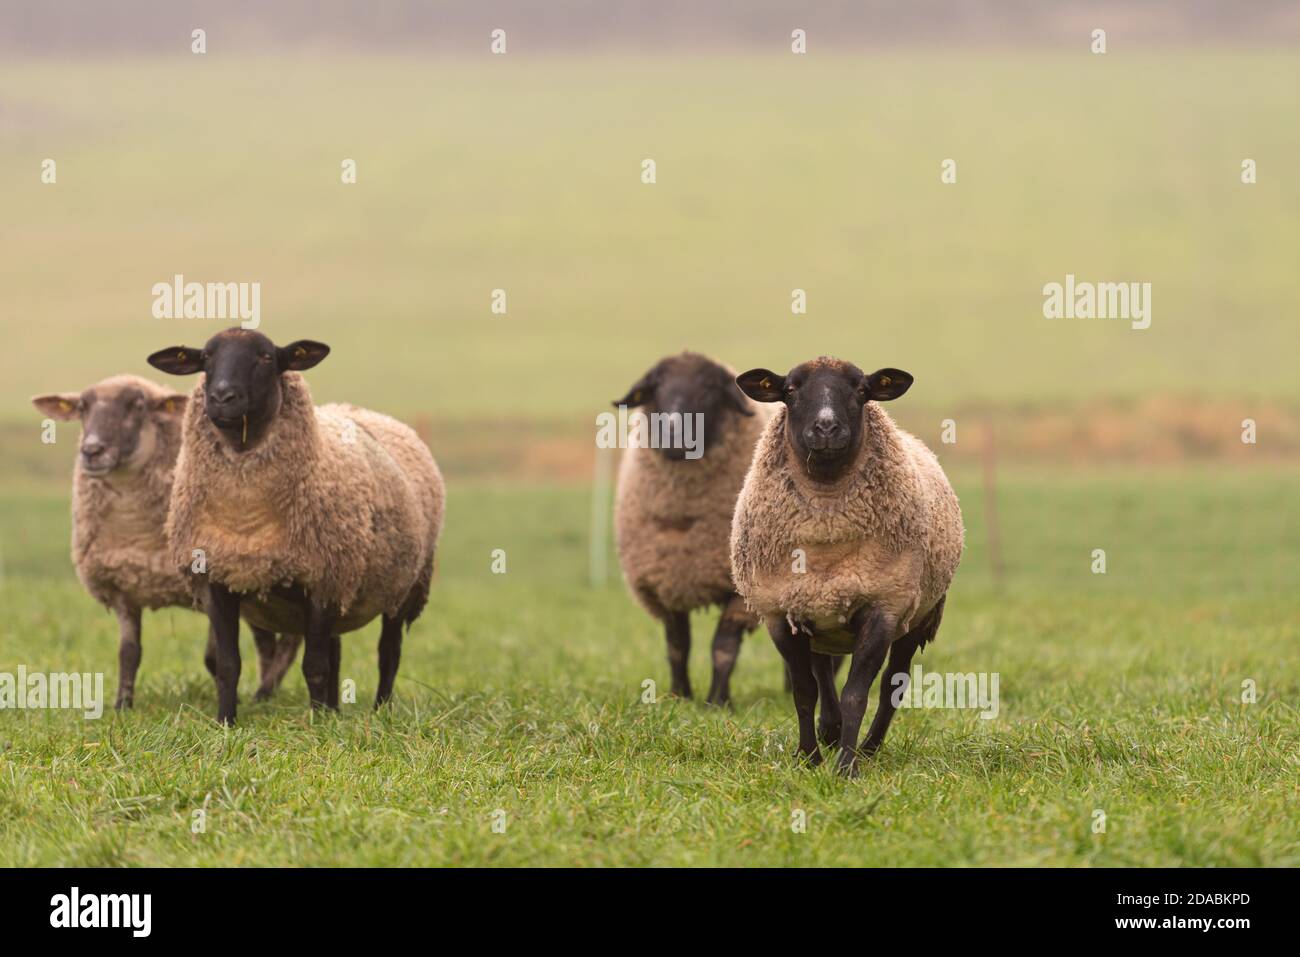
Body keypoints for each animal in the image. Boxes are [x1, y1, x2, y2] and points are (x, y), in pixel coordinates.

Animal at [31, 375, 299, 708]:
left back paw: (264, 693)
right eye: (82, 407)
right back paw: (265, 693)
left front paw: (229, 698)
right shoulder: (122, 590)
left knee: (289, 640)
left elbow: (213, 657)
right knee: (267, 641)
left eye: (138, 405)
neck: (136, 533)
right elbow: (128, 653)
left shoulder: (206, 584)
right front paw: (122, 706)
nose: (92, 450)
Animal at [147, 328, 444, 724]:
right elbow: (227, 664)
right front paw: (226, 722)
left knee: (388, 653)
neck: (247, 521)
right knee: (336, 651)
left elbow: (314, 666)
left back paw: (379, 709)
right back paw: (334, 710)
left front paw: (318, 725)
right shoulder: (217, 576)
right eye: (206, 358)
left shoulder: (321, 580)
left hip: (402, 587)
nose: (222, 397)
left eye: (266, 357)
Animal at [612, 351, 771, 705]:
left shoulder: (740, 589)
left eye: (710, 390)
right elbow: (677, 647)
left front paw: (717, 702)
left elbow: (723, 648)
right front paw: (678, 696)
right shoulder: (664, 579)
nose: (675, 437)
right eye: (656, 388)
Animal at [731, 357, 963, 774]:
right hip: (819, 614)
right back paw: (830, 730)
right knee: (823, 673)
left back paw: (868, 747)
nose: (826, 427)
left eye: (861, 390)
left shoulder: (883, 609)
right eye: (790, 390)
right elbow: (804, 691)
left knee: (892, 685)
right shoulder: (780, 614)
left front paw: (846, 768)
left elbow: (857, 693)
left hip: (919, 616)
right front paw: (809, 756)